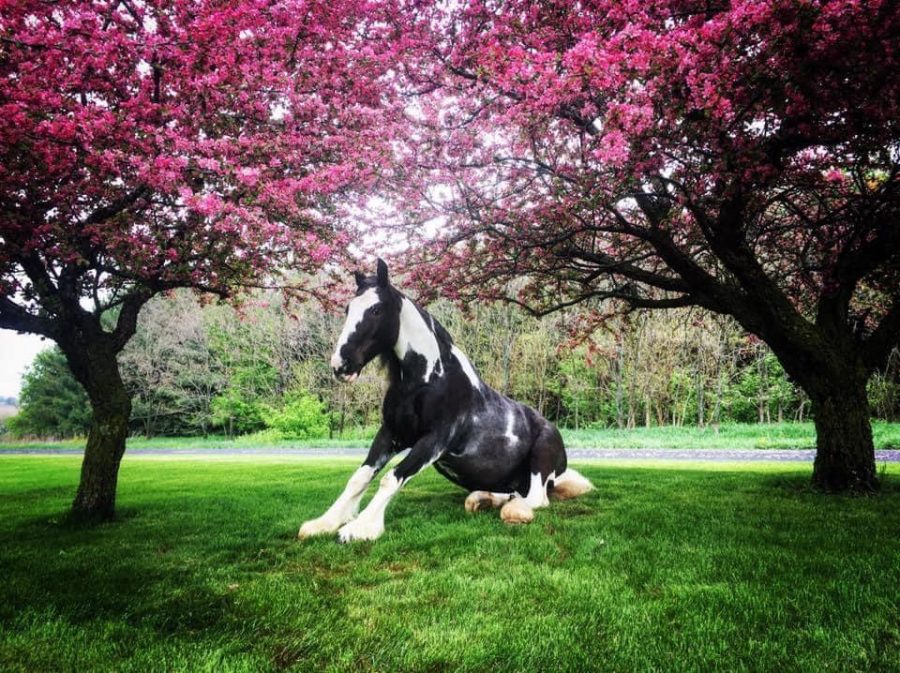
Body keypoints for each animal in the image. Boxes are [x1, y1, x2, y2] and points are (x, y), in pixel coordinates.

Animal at [298, 259, 594, 542]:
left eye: (376, 310)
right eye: (349, 308)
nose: (341, 365)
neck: (428, 379)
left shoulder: (435, 440)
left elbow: (391, 478)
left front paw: (359, 529)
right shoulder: (391, 434)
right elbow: (359, 478)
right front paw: (323, 524)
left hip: (541, 457)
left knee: (536, 499)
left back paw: (513, 511)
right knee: (512, 493)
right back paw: (481, 500)